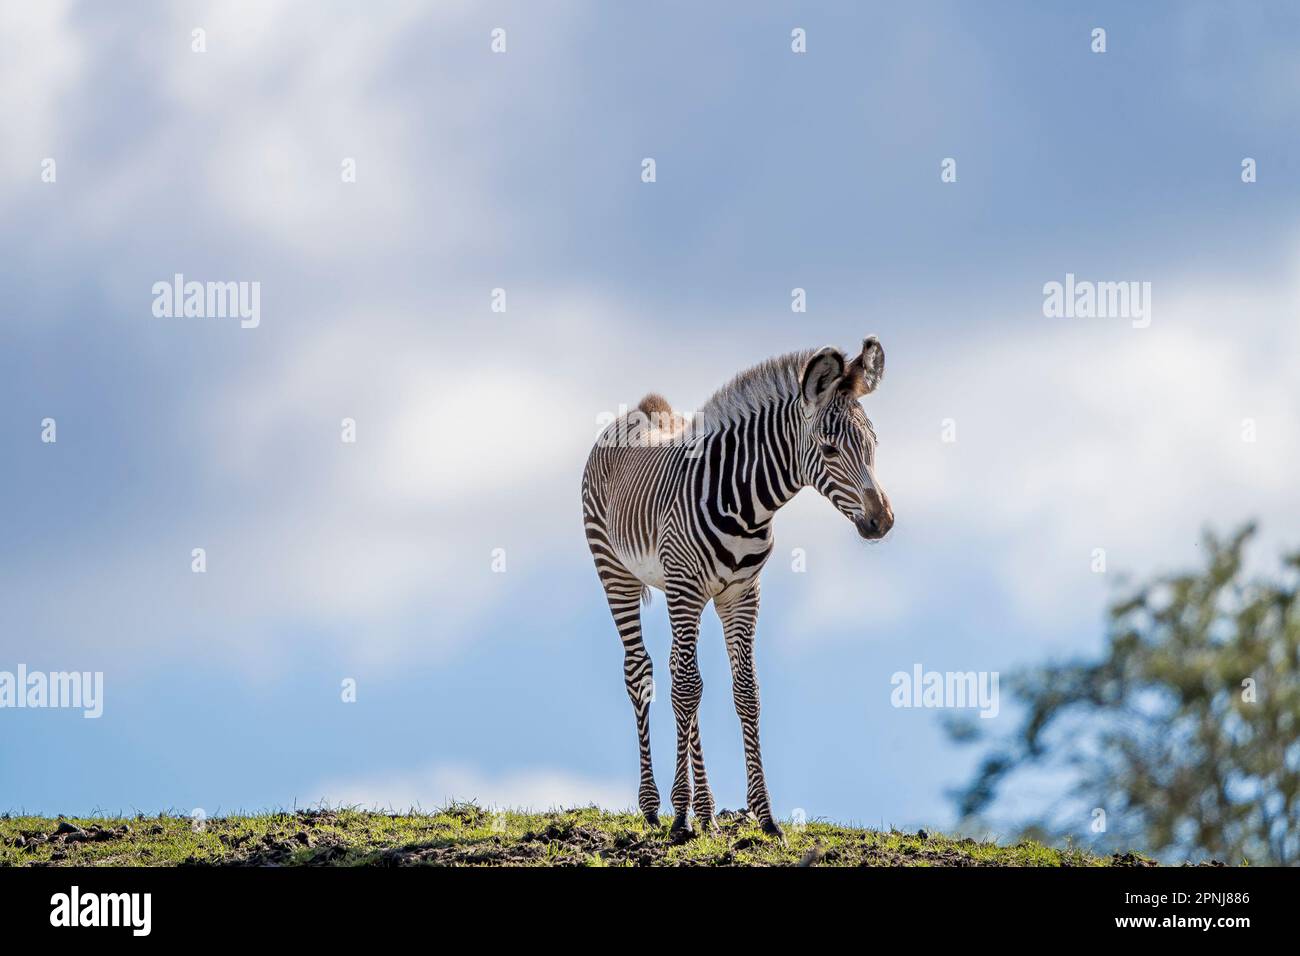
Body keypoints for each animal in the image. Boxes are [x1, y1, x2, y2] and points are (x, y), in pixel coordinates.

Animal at [581, 337, 893, 840]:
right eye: (828, 449)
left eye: (873, 446)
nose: (882, 522)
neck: (747, 505)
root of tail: (637, 412)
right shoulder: (686, 588)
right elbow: (686, 690)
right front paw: (681, 817)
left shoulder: (741, 595)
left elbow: (744, 693)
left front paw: (764, 817)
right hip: (615, 572)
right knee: (642, 672)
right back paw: (654, 806)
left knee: (678, 669)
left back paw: (707, 810)